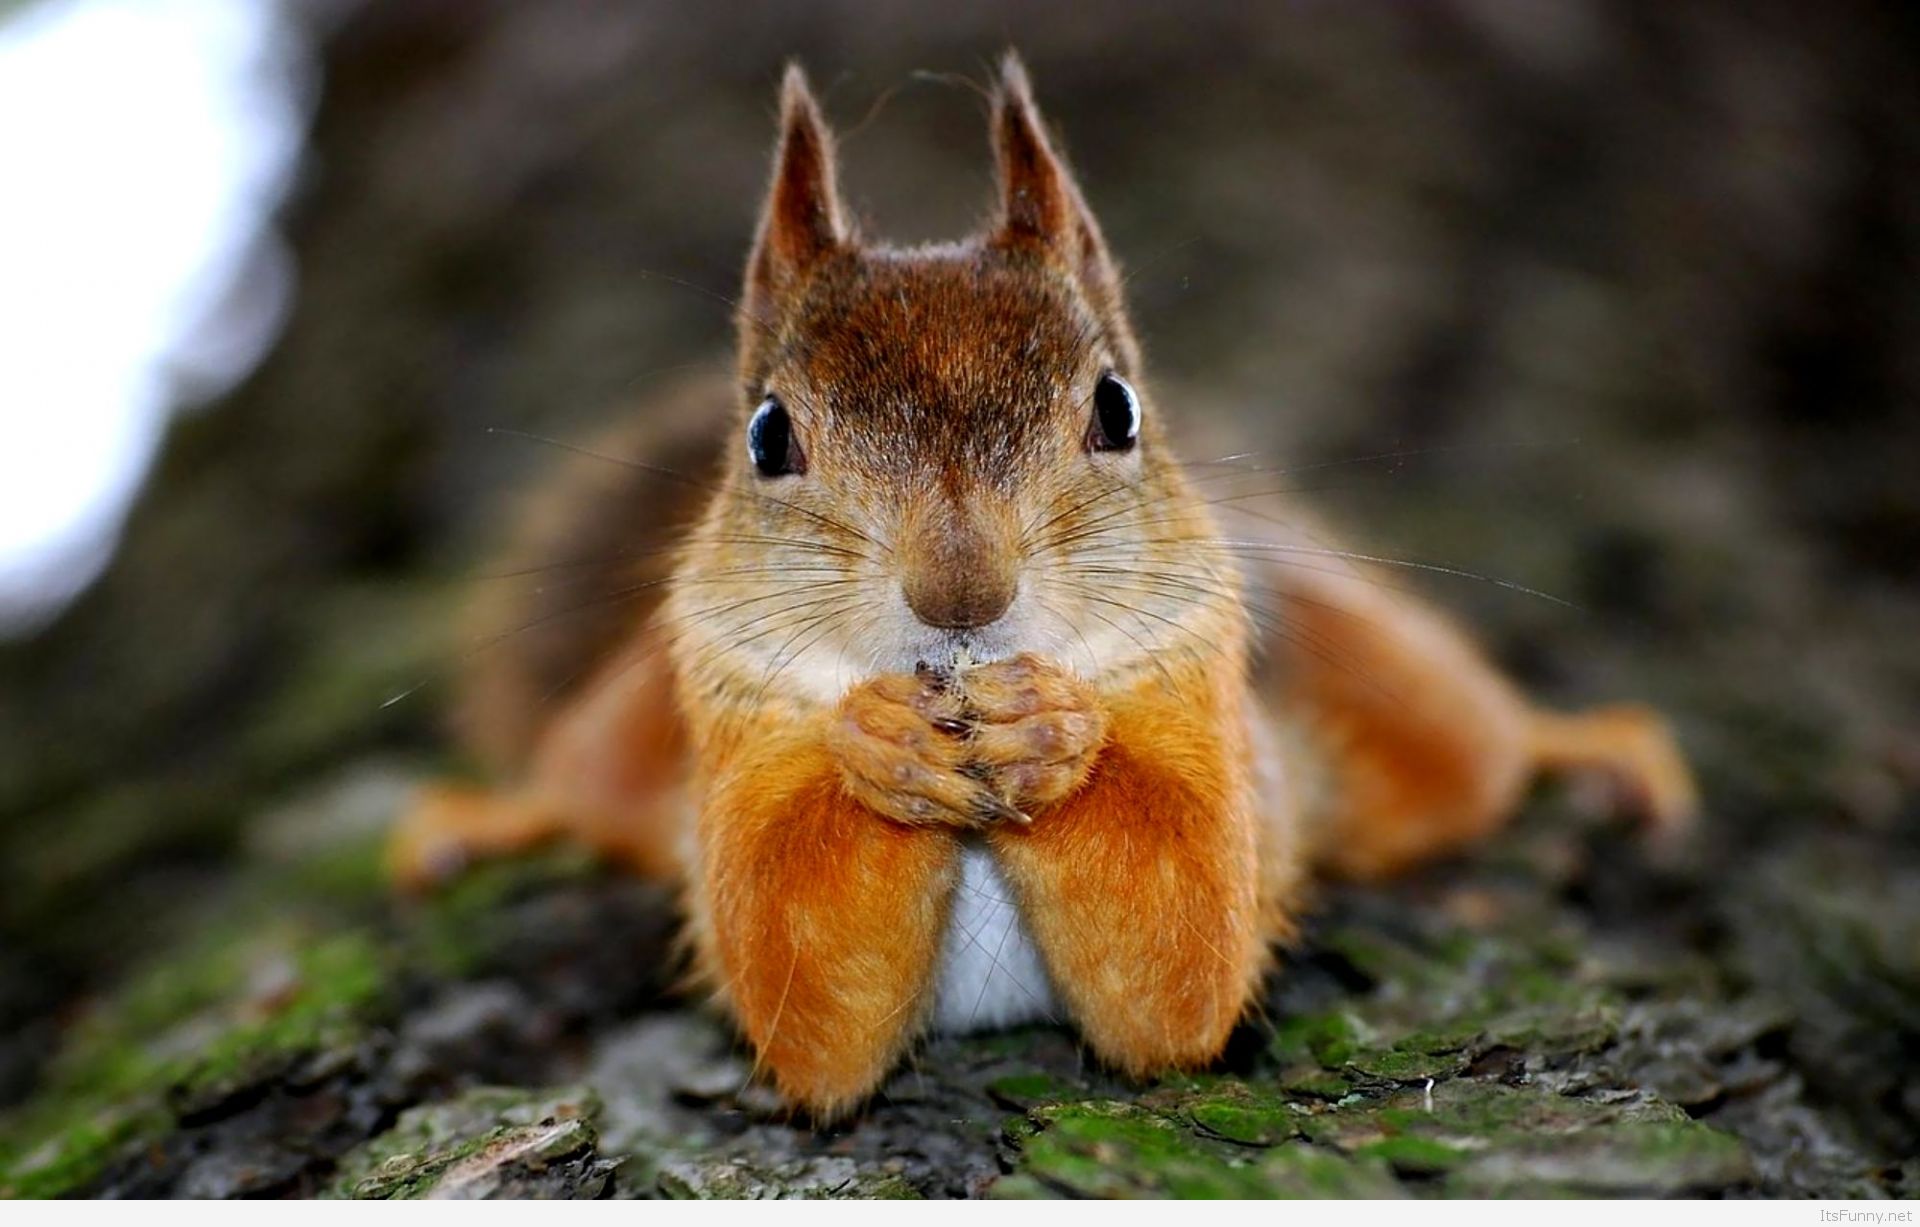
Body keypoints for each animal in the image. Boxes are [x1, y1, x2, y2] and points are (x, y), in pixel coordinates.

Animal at [389, 54, 1698, 1120]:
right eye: (766, 436)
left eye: (1117, 409)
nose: (961, 593)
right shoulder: (731, 715)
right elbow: (799, 986)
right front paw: (878, 744)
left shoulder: (1206, 702)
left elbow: (1185, 951)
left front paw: (1053, 732)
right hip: (627, 730)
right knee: (582, 786)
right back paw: (485, 820)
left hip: (1373, 674)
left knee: (1474, 750)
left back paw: (1590, 745)